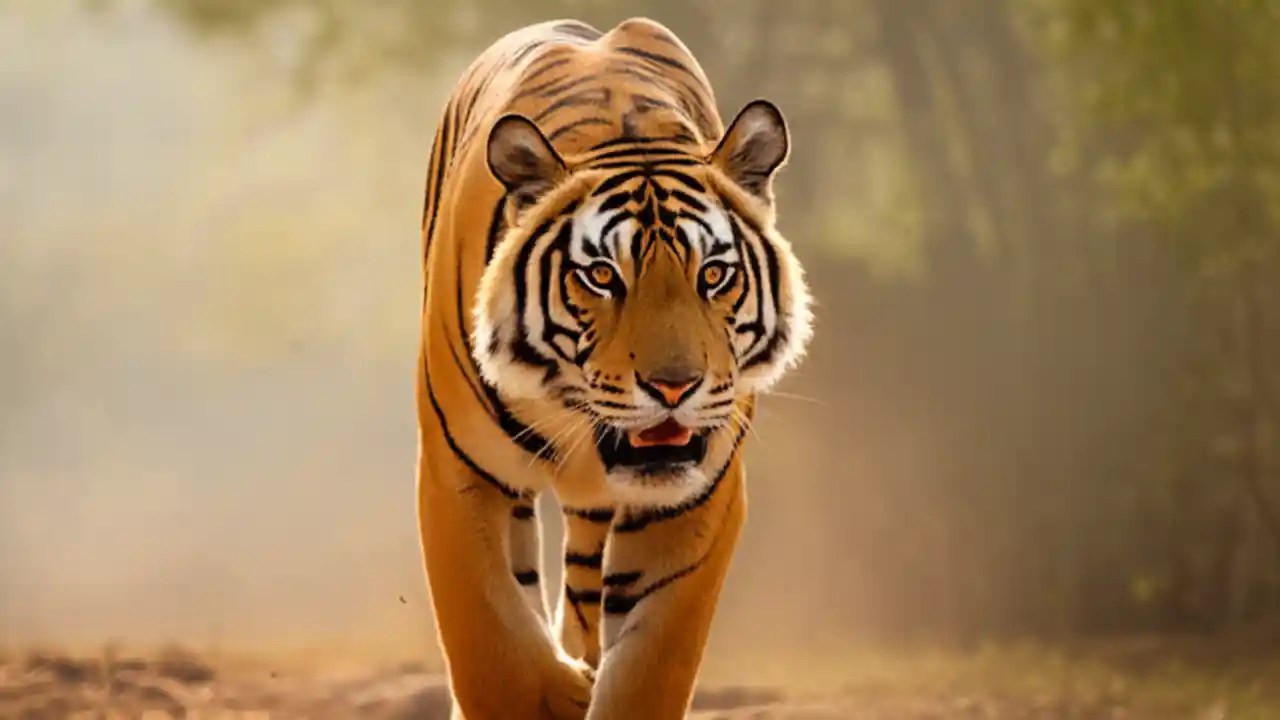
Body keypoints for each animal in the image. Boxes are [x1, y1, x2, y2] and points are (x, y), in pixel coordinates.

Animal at [416, 17, 812, 720]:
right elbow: (493, 652)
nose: (674, 387)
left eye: (715, 275)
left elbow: (648, 670)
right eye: (602, 275)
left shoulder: (697, 497)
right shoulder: (458, 469)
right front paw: (553, 691)